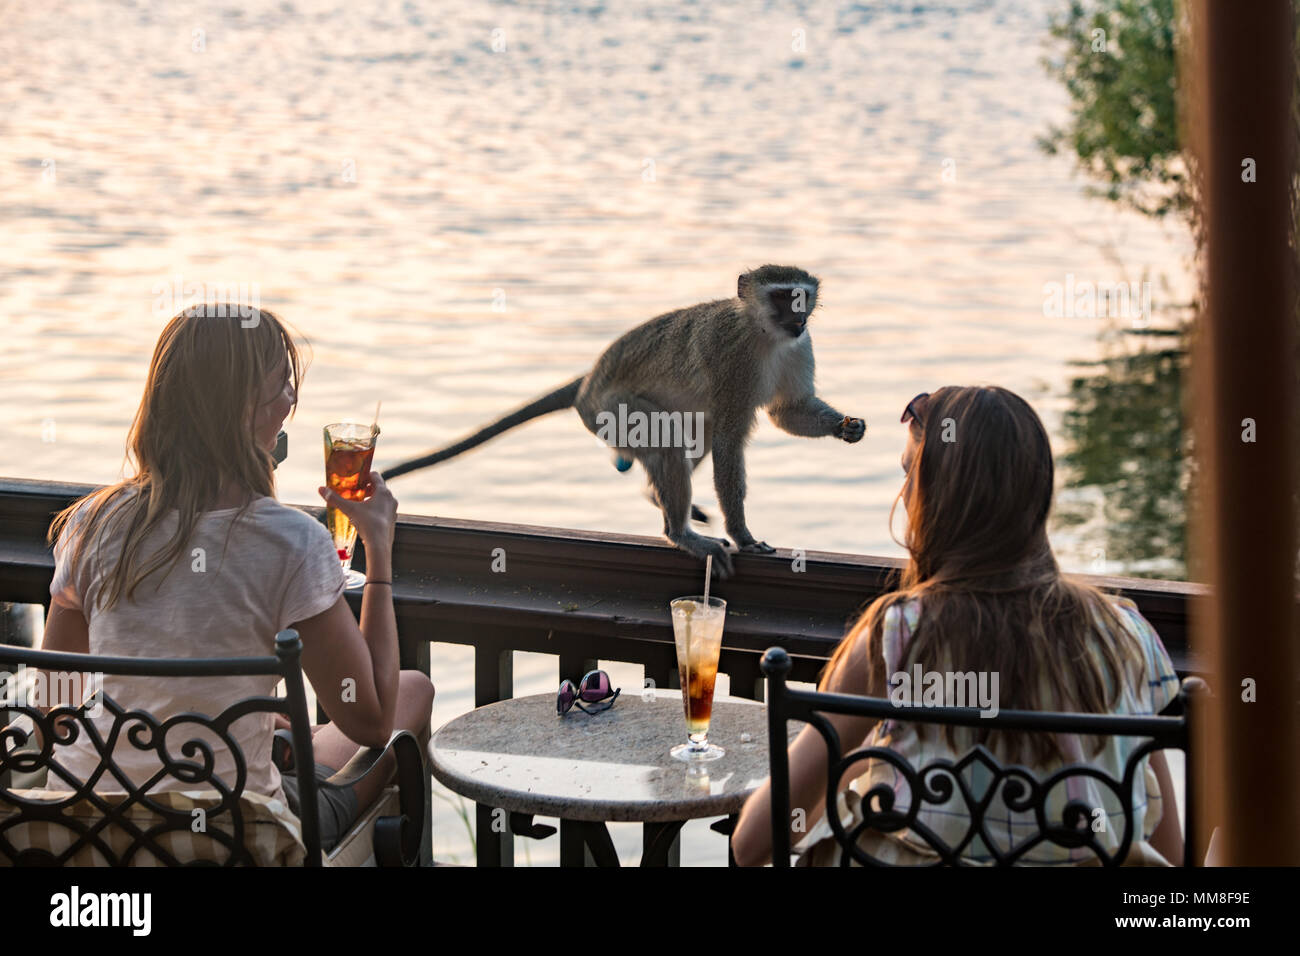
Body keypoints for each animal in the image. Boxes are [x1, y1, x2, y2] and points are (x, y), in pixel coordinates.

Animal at [382, 265, 866, 576]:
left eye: (802, 297)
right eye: (782, 295)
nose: (799, 317)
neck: (764, 333)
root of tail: (588, 384)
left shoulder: (801, 345)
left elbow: (787, 411)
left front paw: (847, 426)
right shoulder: (734, 359)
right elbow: (730, 441)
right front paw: (743, 535)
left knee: (694, 429)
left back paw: (660, 501)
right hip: (609, 410)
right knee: (673, 438)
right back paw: (679, 532)